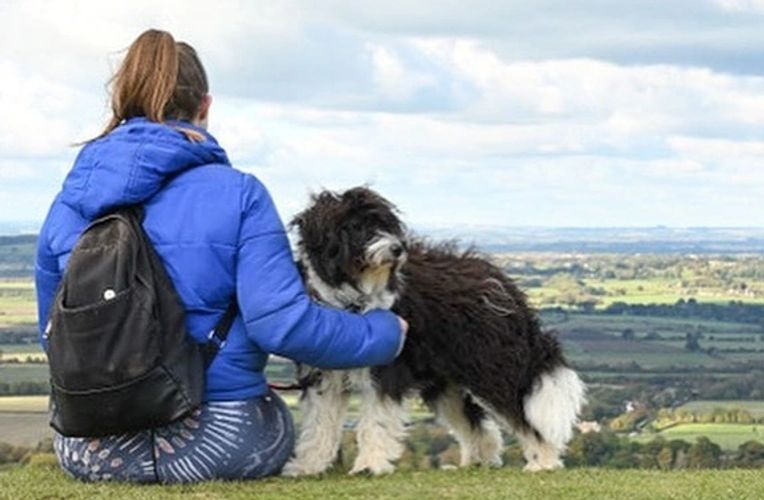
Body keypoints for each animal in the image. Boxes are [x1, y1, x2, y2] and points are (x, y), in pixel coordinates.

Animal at [280, 188, 584, 476]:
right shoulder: (323, 376)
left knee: (521, 413)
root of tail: (504, 284)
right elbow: (319, 425)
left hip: (491, 369)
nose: (398, 249)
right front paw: (308, 466)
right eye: (357, 226)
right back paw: (476, 462)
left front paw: (370, 465)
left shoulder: (385, 372)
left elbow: (375, 422)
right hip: (446, 381)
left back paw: (543, 460)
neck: (352, 299)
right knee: (477, 426)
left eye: (385, 224)